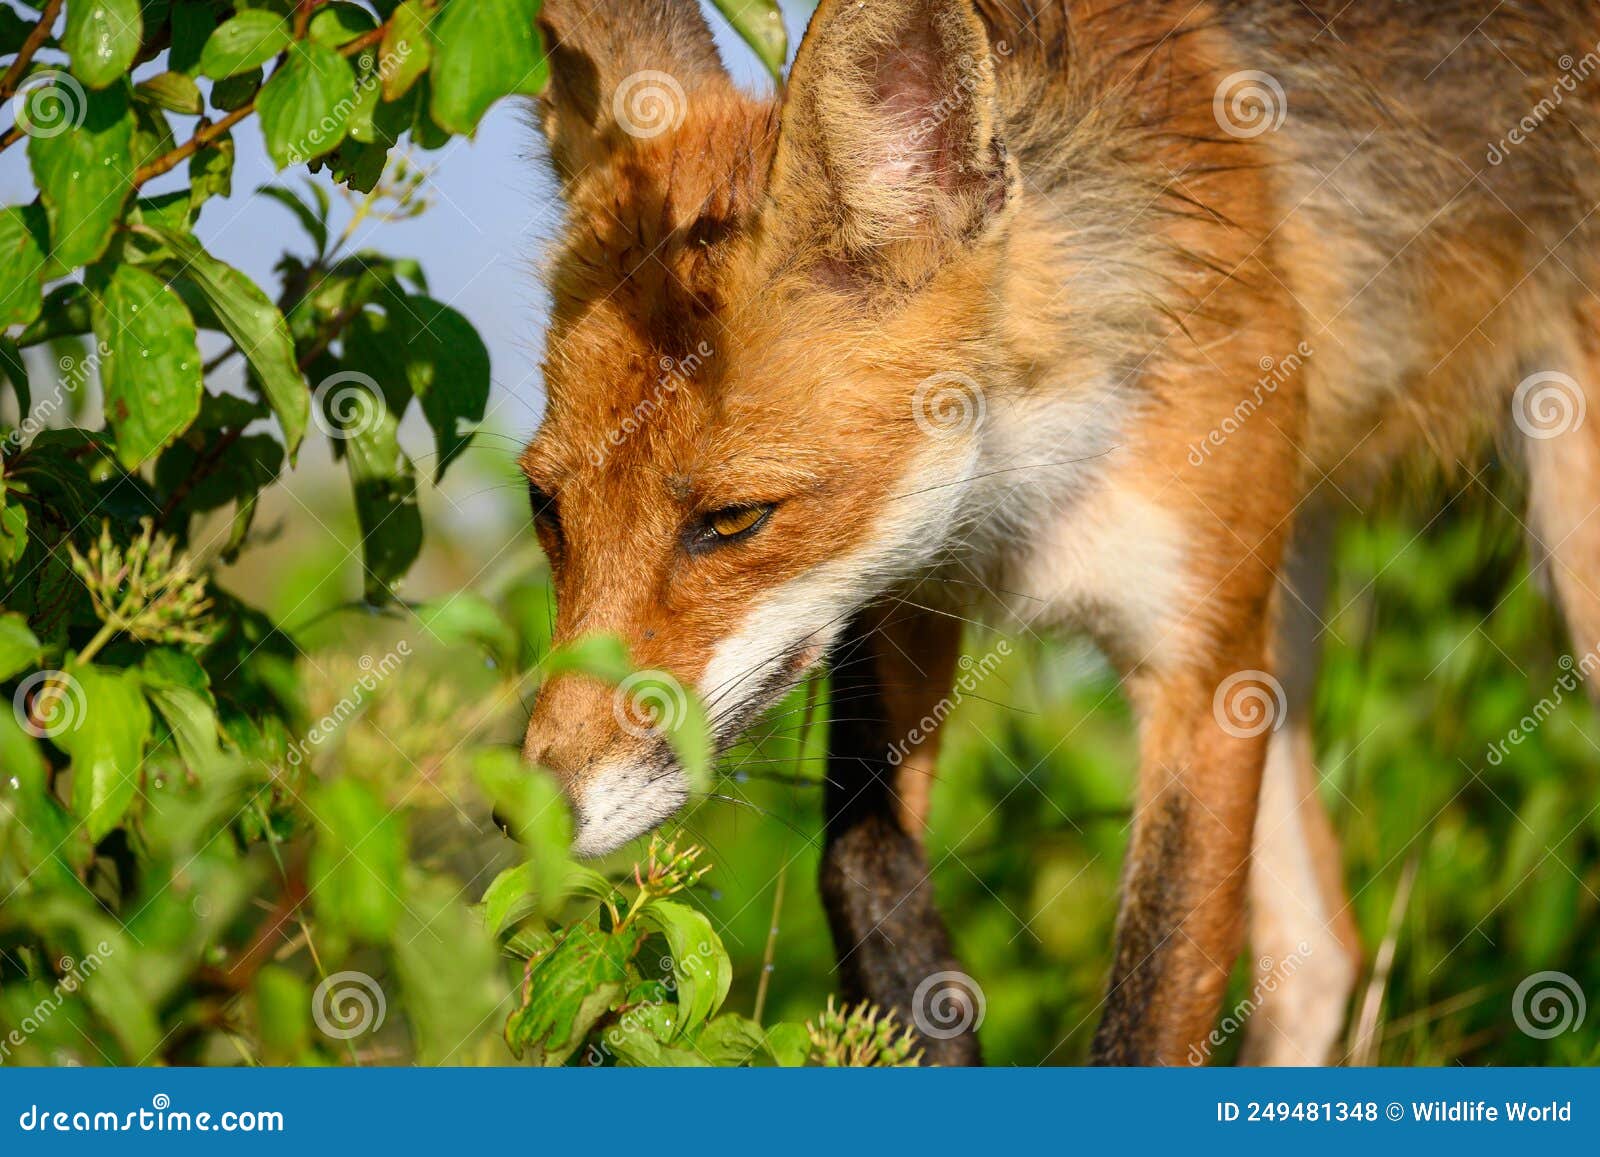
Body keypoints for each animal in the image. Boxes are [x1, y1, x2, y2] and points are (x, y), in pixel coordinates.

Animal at [516, 0, 1600, 1065]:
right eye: (544, 508)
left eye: (736, 518)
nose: (526, 809)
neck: (1032, 491)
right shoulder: (902, 594)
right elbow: (859, 863)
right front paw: (926, 1020)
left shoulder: (1201, 669)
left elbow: (1149, 1013)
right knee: (1322, 948)